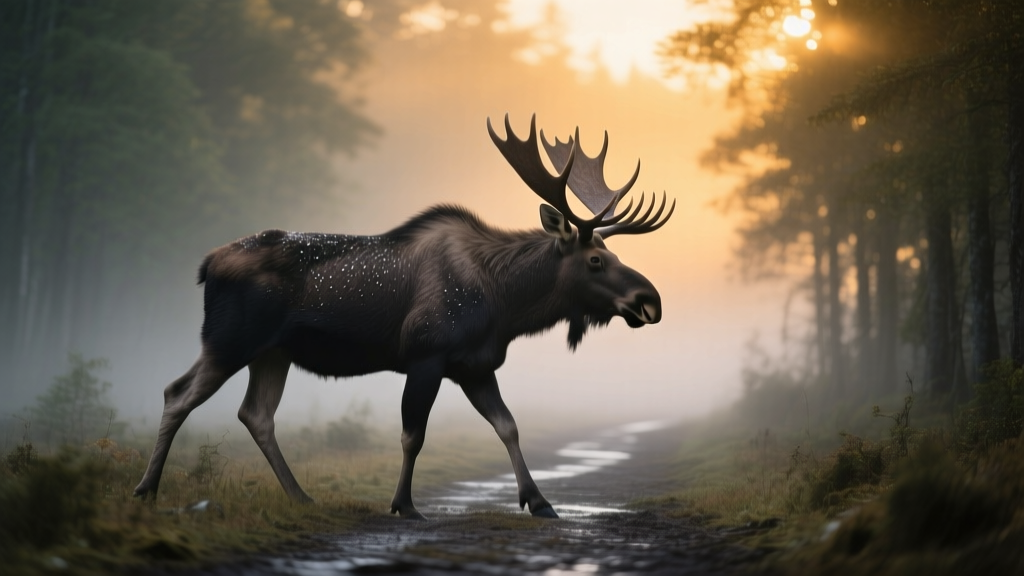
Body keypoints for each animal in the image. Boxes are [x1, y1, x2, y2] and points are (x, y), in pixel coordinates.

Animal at [133, 115, 674, 519]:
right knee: (178, 394)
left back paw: (301, 496)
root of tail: (207, 265)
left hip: (272, 351)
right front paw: (404, 504)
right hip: (231, 339)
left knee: (255, 414)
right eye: (596, 260)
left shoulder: (475, 365)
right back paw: (146, 490)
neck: (505, 305)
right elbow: (413, 434)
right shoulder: (426, 354)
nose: (651, 300)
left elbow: (508, 426)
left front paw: (540, 502)